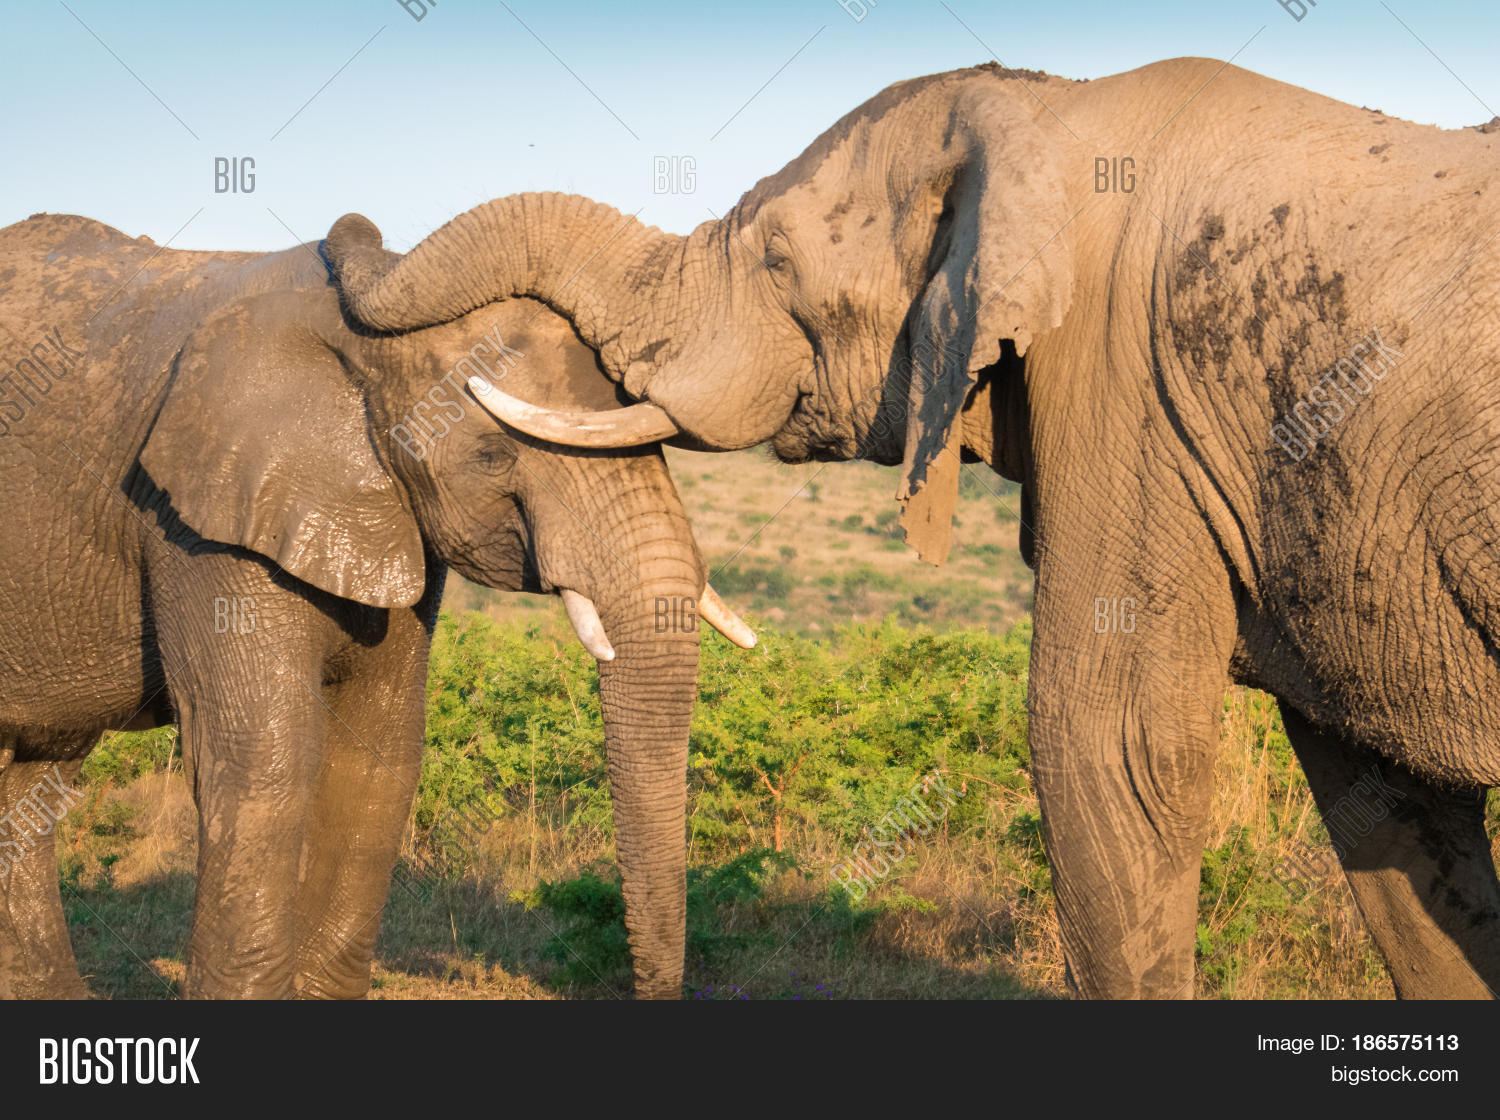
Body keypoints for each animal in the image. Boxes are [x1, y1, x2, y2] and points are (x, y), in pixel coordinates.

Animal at [0, 210, 754, 1000]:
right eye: (492, 456)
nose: (348, 227)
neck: (350, 340)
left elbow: (381, 752)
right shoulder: (196, 517)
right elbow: (263, 758)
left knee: (34, 783)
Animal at [322, 58, 1500, 998]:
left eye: (779, 262)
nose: (346, 234)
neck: (1049, 110)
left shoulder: (1124, 391)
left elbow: (1109, 747)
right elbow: (1390, 807)